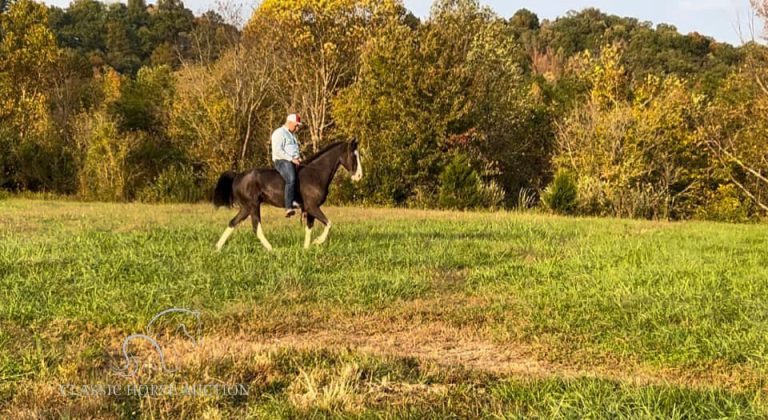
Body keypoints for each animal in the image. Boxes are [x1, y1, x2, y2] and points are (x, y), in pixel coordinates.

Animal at [212, 139, 363, 251]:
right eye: (353, 155)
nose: (359, 176)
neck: (315, 174)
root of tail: (237, 176)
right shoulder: (312, 207)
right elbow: (328, 223)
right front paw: (317, 241)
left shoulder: (309, 210)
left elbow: (309, 228)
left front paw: (306, 249)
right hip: (253, 206)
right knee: (256, 228)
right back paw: (271, 248)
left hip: (246, 207)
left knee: (233, 222)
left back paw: (217, 248)